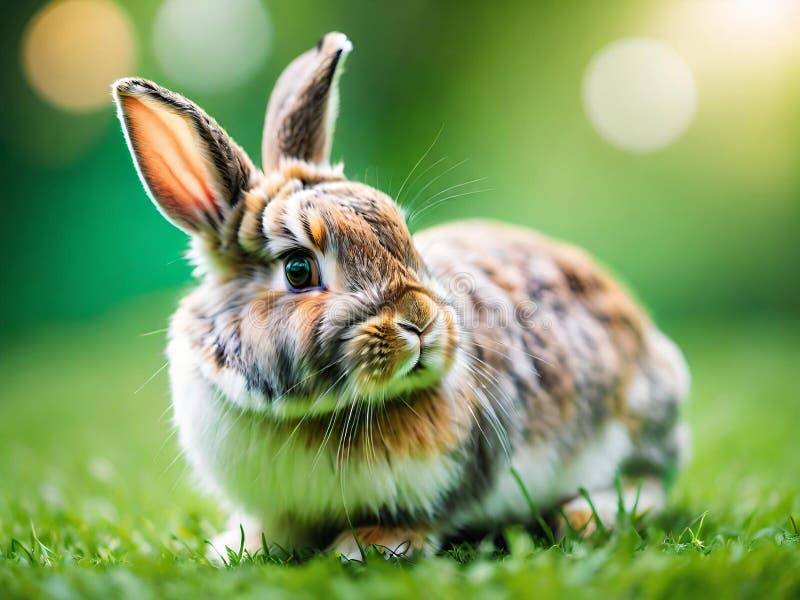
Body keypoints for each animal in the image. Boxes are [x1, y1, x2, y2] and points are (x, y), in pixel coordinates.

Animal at [113, 31, 689, 560]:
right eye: (298, 270)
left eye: (404, 238)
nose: (420, 321)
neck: (317, 412)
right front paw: (239, 547)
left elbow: (423, 518)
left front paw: (368, 544)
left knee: (648, 484)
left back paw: (587, 517)